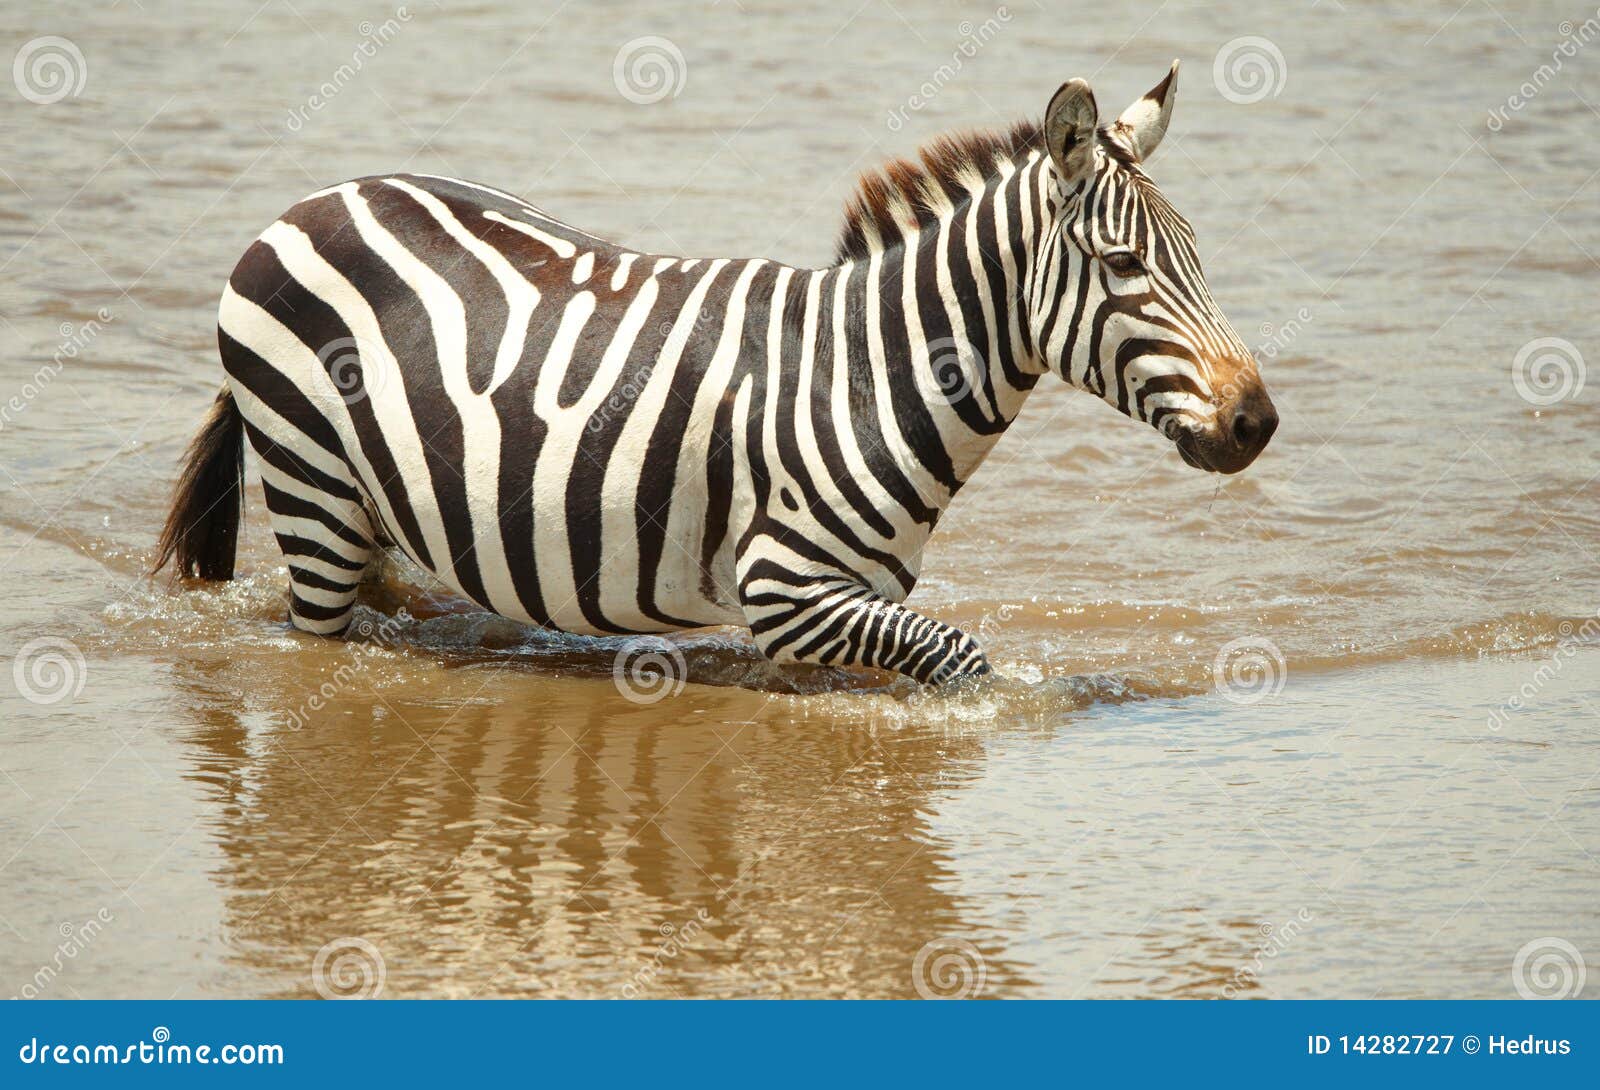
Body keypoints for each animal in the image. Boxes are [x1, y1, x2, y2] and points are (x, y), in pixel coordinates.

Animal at [153, 61, 1277, 687]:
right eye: (1125, 265)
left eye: (1197, 256)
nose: (1256, 423)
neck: (870, 374)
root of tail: (314, 199)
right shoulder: (785, 584)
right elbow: (966, 661)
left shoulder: (846, 601)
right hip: (312, 484)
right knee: (315, 634)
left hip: (380, 497)